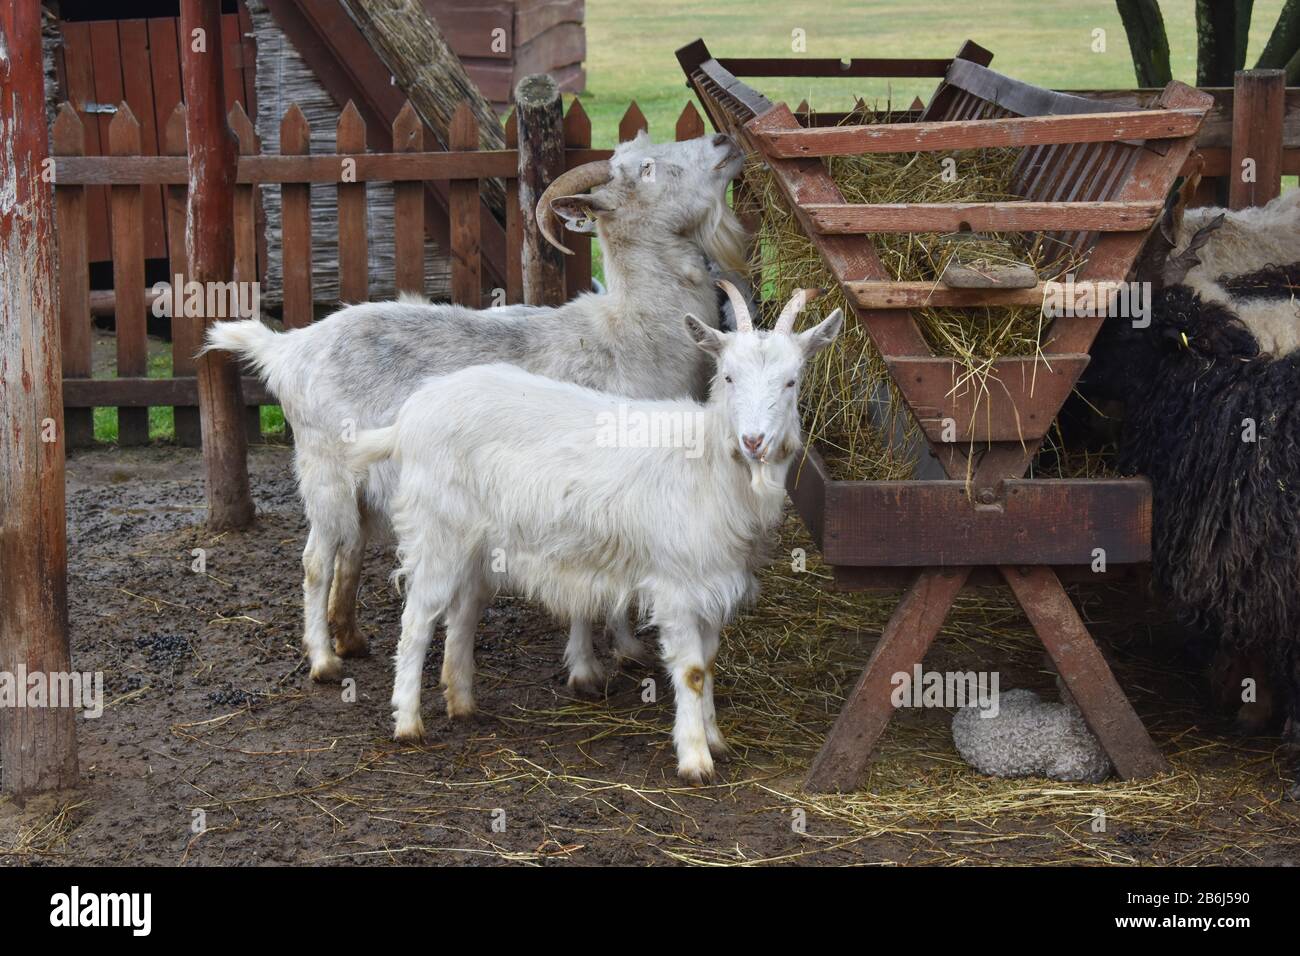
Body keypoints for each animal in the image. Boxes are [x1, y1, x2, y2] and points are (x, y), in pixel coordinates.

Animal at [205, 131, 748, 688]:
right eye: (645, 168)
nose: (722, 139)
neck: (627, 333)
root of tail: (289, 347)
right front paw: (587, 668)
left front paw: (626, 648)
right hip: (323, 471)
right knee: (317, 559)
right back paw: (323, 659)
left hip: (363, 483)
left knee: (349, 549)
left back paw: (350, 639)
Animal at [344, 285, 843, 782]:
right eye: (729, 376)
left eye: (792, 381)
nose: (754, 441)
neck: (706, 465)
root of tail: (409, 417)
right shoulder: (677, 588)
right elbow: (692, 672)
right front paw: (696, 760)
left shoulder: (716, 585)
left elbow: (711, 664)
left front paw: (716, 740)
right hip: (437, 530)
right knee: (417, 620)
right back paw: (409, 723)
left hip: (479, 544)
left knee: (463, 612)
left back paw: (462, 701)